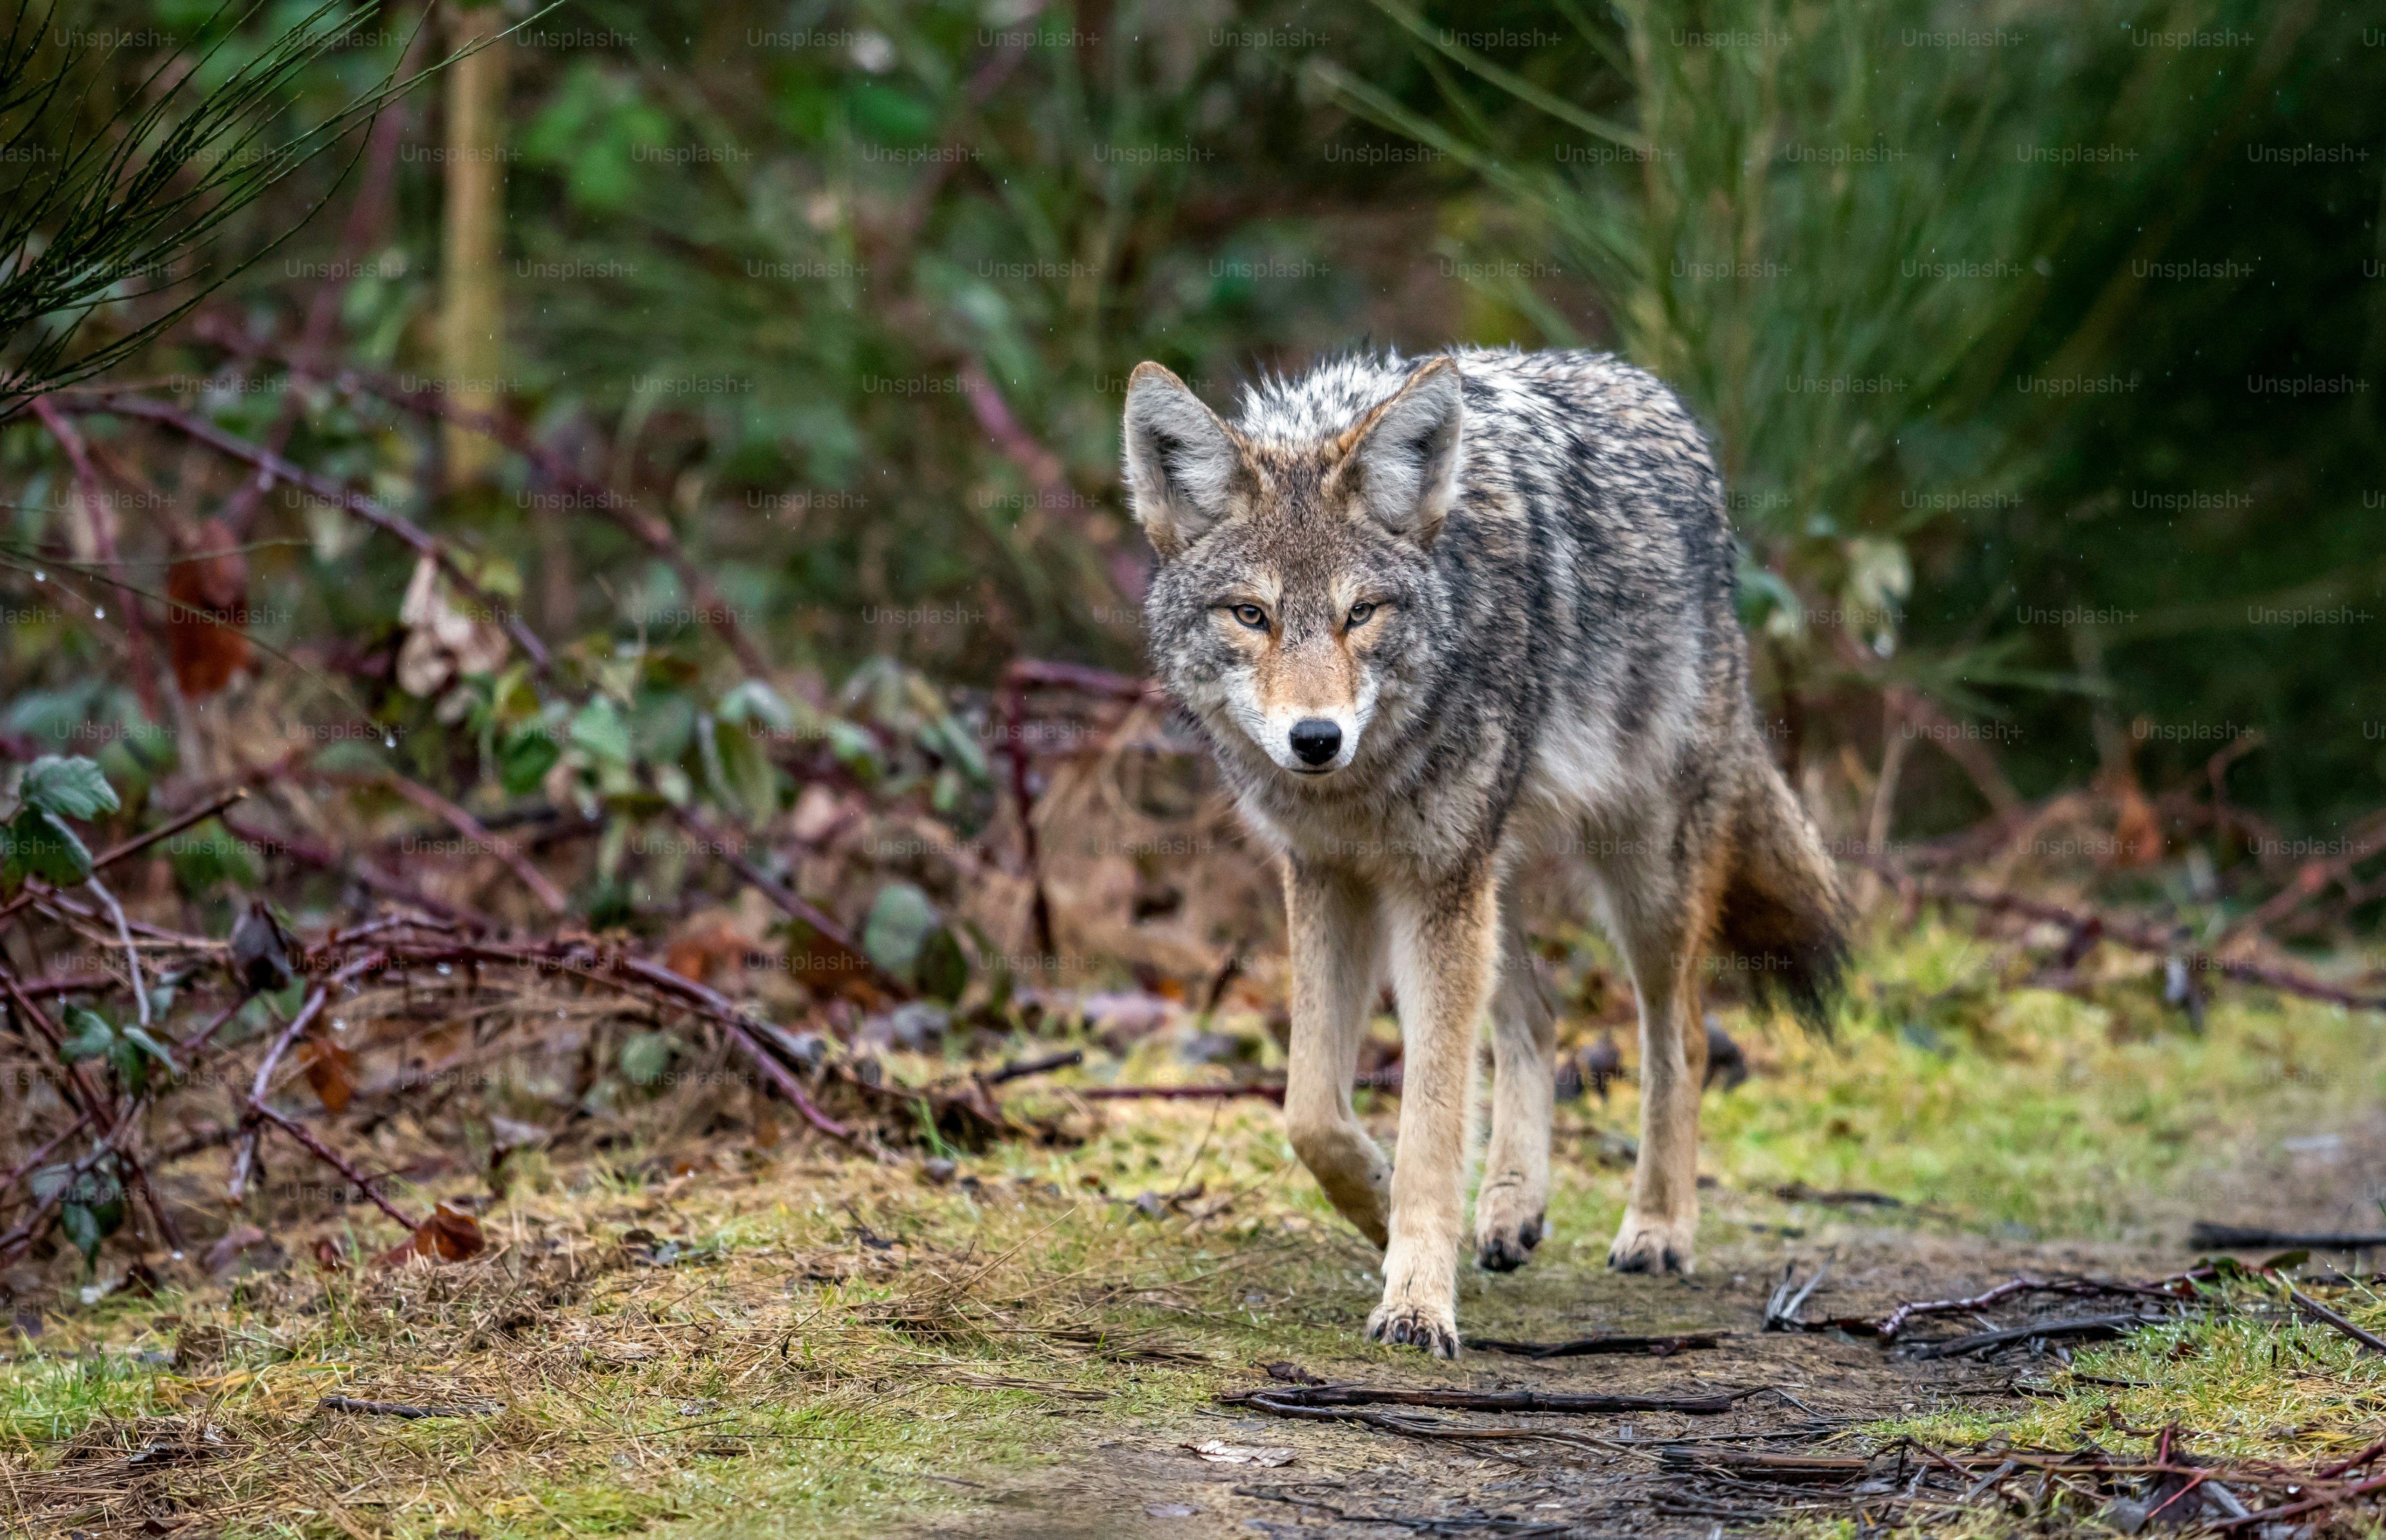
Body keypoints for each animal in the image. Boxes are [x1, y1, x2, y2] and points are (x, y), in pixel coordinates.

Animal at [1121, 346, 1845, 1357]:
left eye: (1360, 614)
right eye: (1250, 615)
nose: (1316, 739)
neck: (1357, 786)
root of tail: (1656, 398)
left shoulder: (1431, 883)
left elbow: (1430, 1117)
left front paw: (1418, 1299)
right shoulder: (1330, 877)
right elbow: (1311, 1112)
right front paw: (1384, 1208)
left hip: (1633, 881)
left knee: (1684, 1039)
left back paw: (1658, 1227)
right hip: (1482, 881)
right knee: (1537, 1016)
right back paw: (1509, 1209)